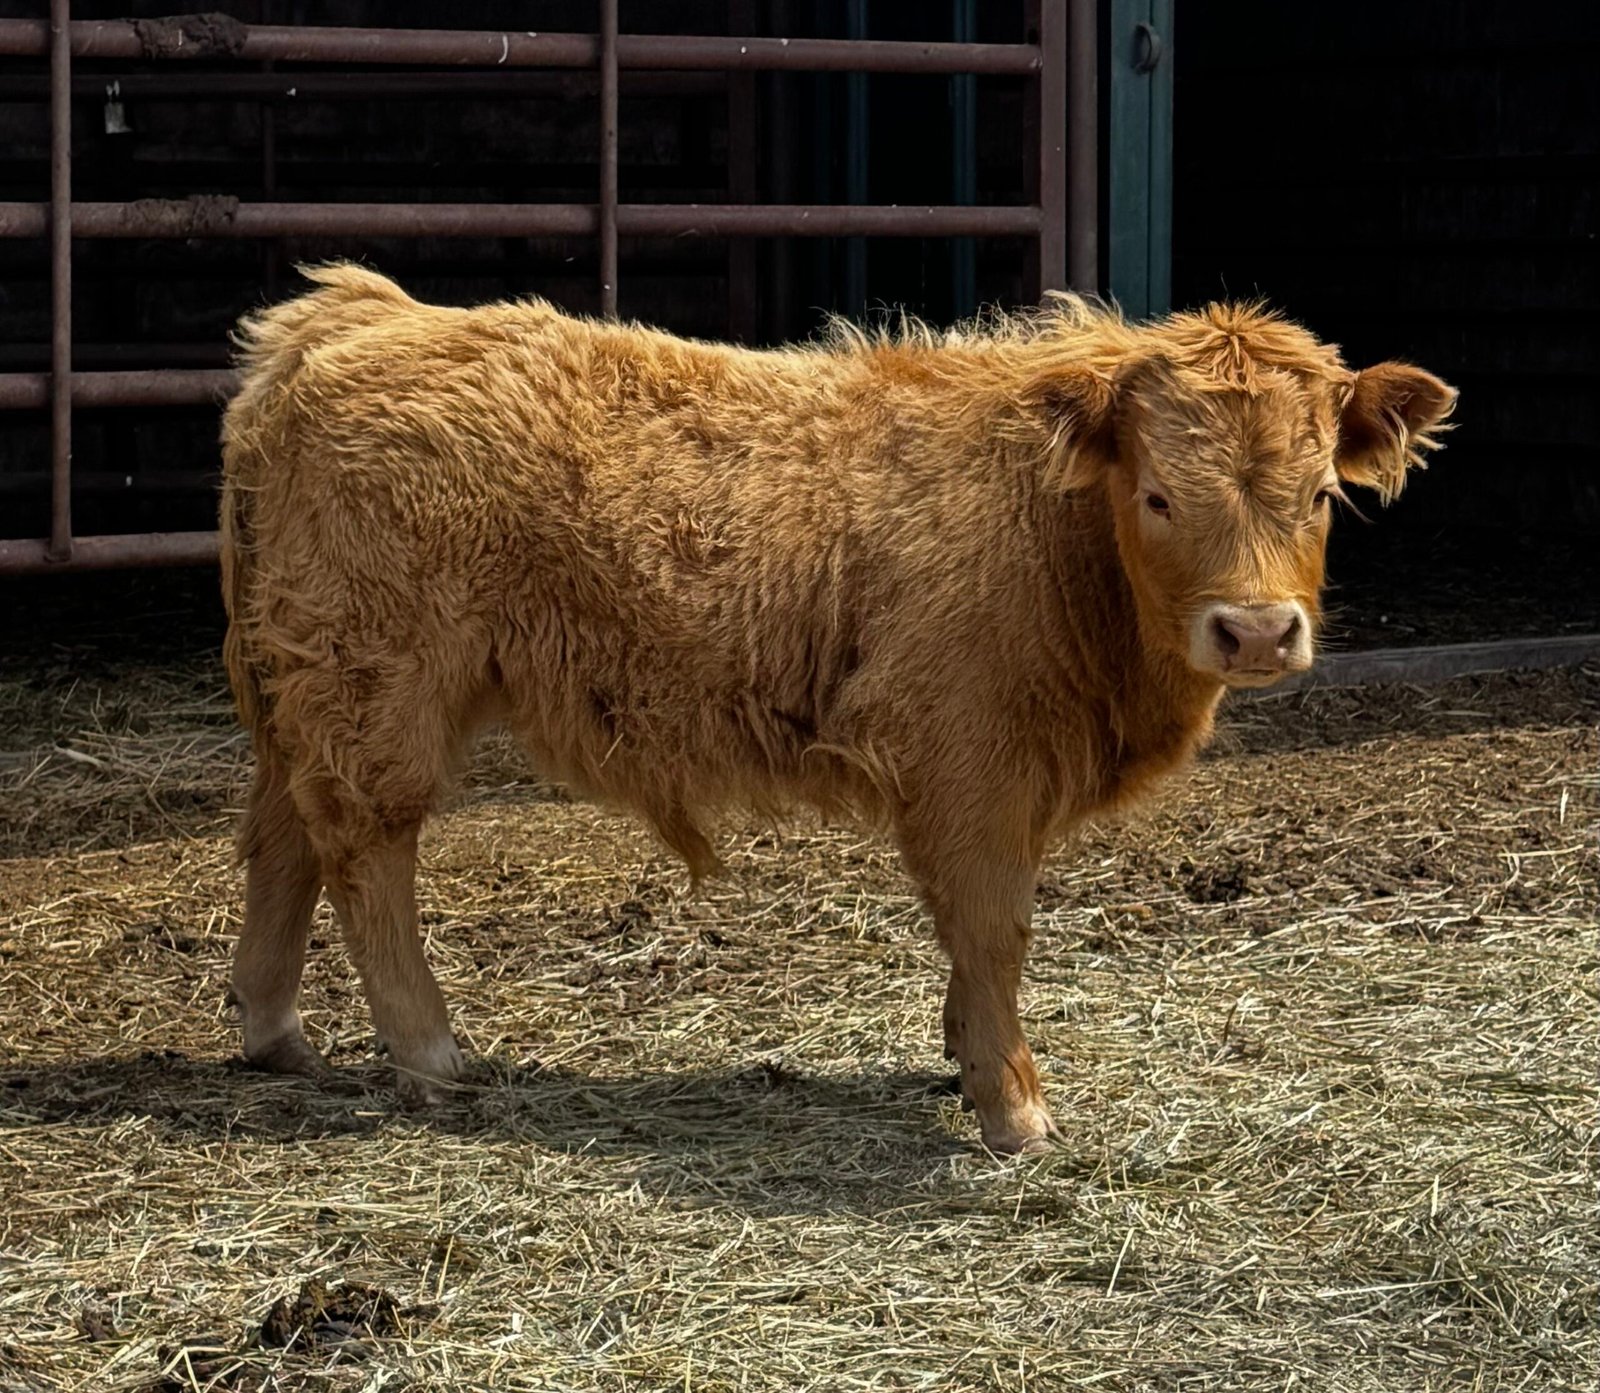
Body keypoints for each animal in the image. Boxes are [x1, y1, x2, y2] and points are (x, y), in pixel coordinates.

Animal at [219, 264, 1454, 1153]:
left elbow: (976, 940)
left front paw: (963, 1061)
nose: (1255, 631)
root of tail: (360, 314)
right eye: (1157, 495)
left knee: (284, 832)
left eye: (1319, 494)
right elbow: (993, 926)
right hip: (380, 682)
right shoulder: (971, 764)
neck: (1051, 531)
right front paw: (1013, 1106)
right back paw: (430, 1053)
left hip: (308, 682)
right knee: (364, 844)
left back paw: (275, 1032)